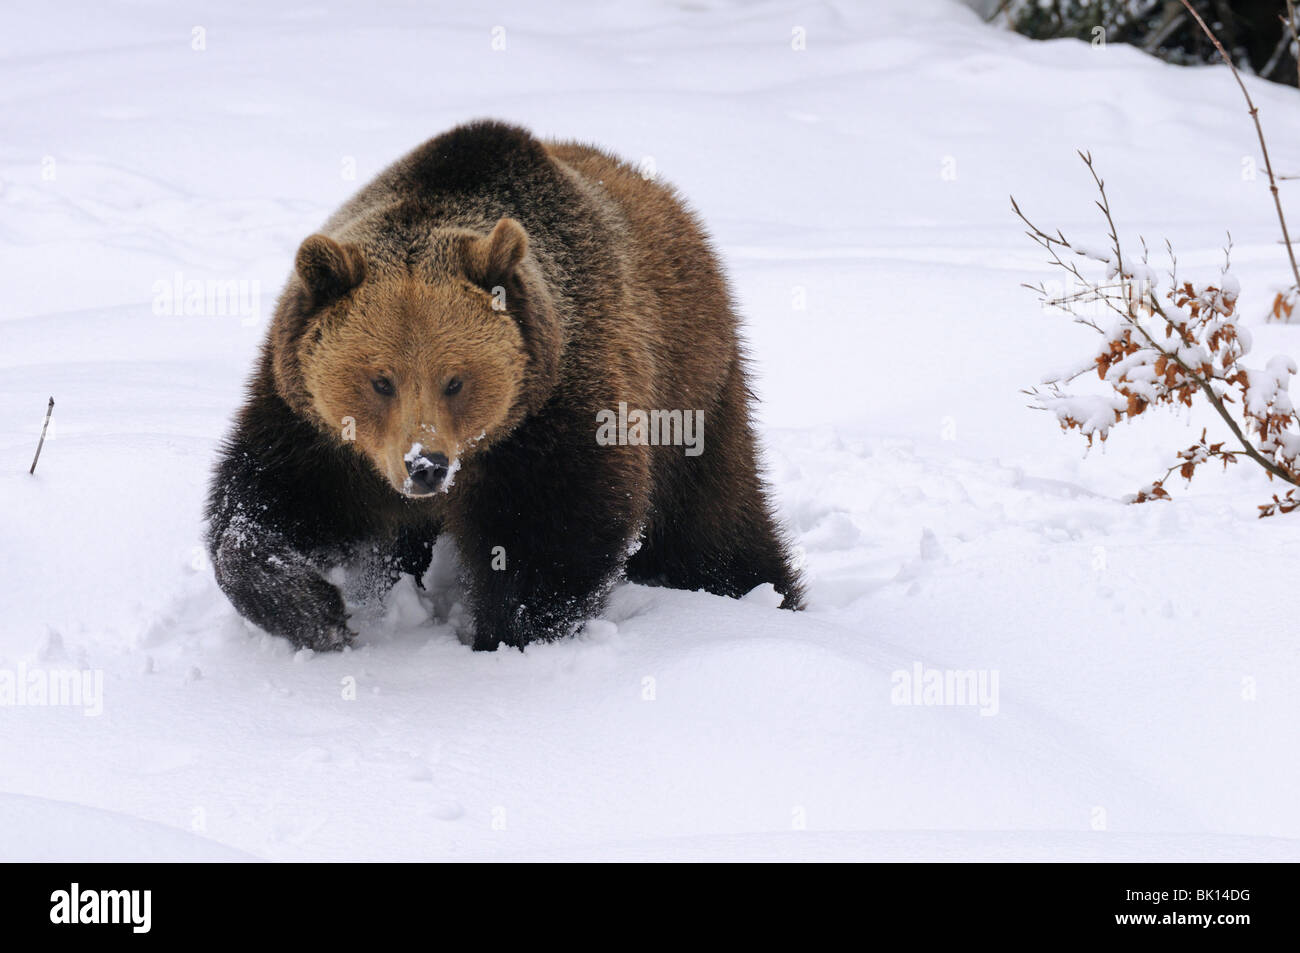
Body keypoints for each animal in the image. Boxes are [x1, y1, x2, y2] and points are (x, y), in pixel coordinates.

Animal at [205, 119, 804, 652]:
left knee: (711, 526)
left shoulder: (555, 414)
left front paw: (505, 638)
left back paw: (764, 595)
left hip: (690, 391)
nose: (426, 466)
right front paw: (316, 612)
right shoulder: (312, 425)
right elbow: (265, 504)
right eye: (380, 380)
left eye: (455, 380)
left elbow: (546, 538)